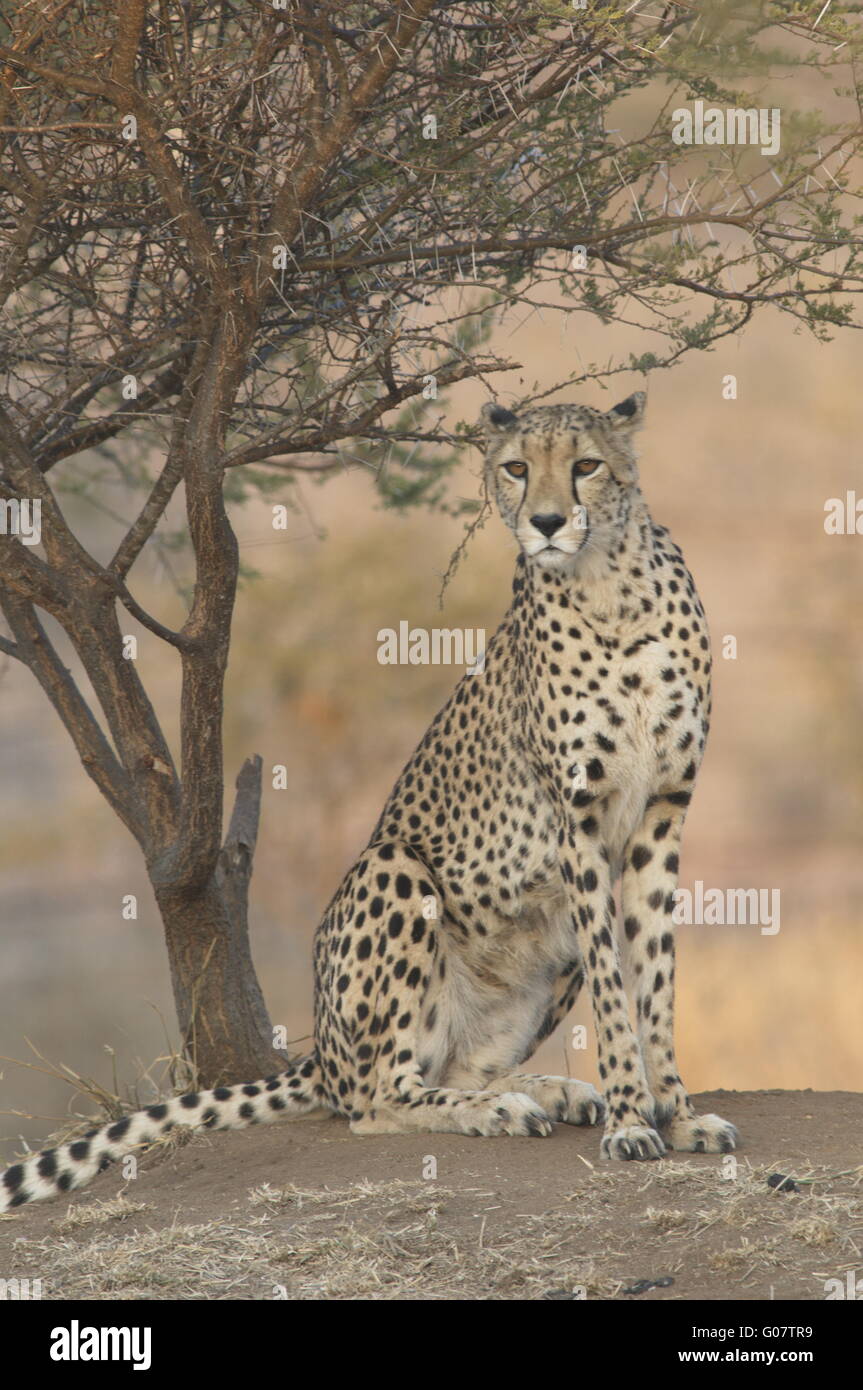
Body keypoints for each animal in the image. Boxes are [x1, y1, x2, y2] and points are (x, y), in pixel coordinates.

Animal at [0, 389, 738, 1212]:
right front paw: (631, 1119)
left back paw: (544, 1092)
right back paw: (499, 1108)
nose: (547, 522)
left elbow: (655, 975)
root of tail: (320, 1052)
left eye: (586, 466)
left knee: (451, 1065)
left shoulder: (661, 812)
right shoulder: (576, 825)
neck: (610, 587)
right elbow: (617, 987)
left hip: (544, 950)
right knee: (377, 1098)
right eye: (516, 468)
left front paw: (674, 1111)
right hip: (397, 868)